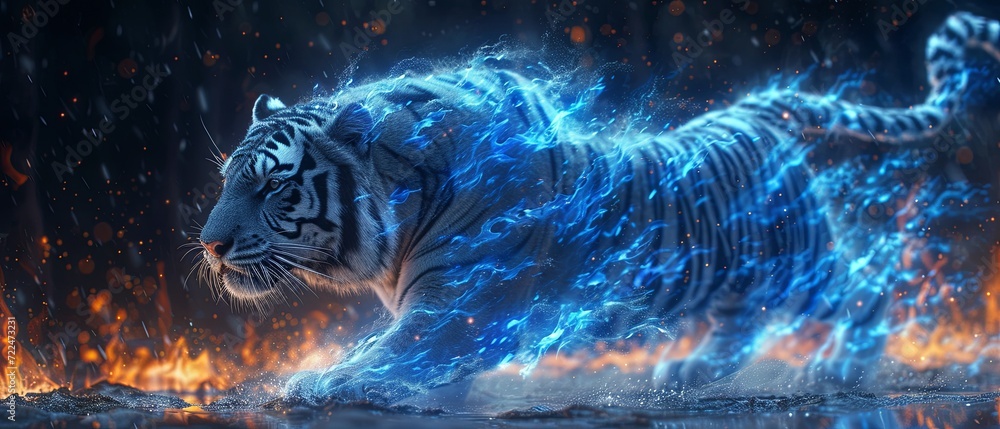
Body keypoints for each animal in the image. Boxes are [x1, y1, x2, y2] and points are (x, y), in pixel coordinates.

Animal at [195, 12, 1000, 404]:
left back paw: (836, 369)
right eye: (228, 180)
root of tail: (750, 109)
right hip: (725, 275)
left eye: (273, 187)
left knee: (865, 288)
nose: (209, 245)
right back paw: (686, 371)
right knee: (738, 323)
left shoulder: (459, 304)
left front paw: (323, 380)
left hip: (799, 263)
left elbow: (397, 349)